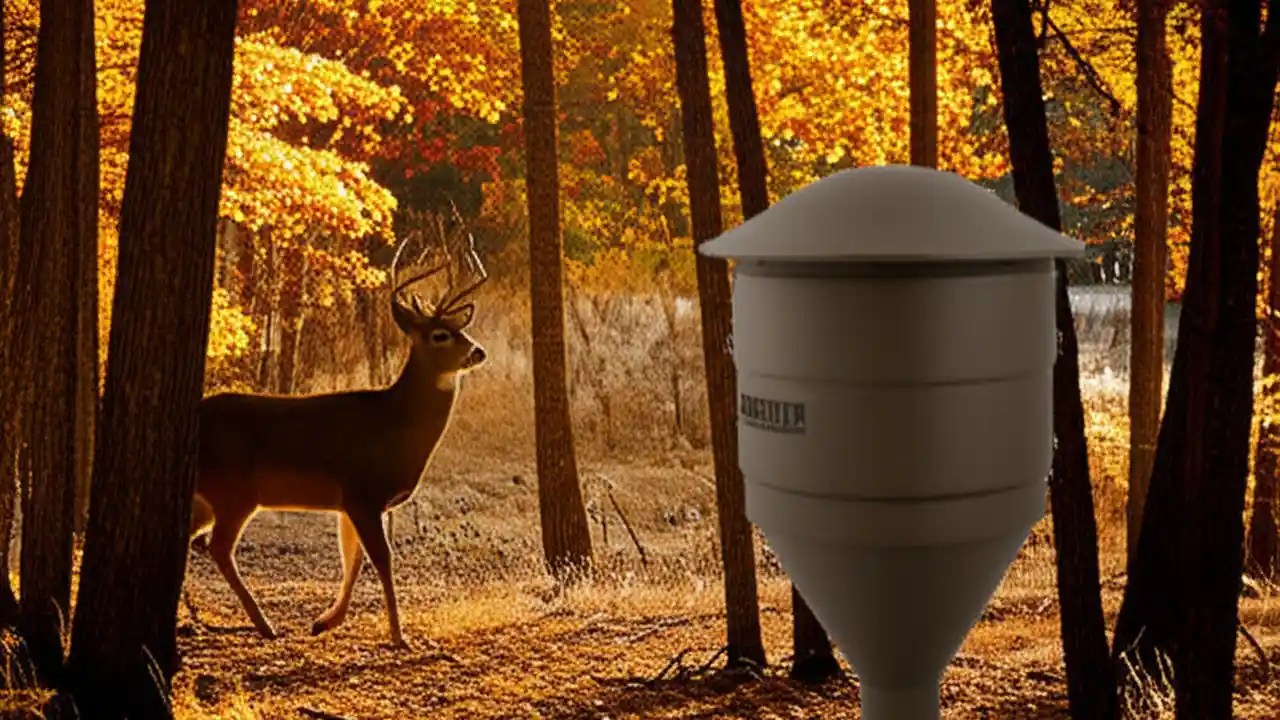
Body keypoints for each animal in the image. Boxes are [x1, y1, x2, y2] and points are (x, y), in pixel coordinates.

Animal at [187, 220, 488, 647]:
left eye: (461, 329)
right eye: (440, 334)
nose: (478, 351)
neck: (394, 426)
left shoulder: (350, 501)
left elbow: (353, 559)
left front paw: (325, 621)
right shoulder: (363, 492)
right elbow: (381, 560)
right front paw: (398, 636)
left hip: (209, 496)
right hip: (234, 491)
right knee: (217, 547)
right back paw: (264, 625)